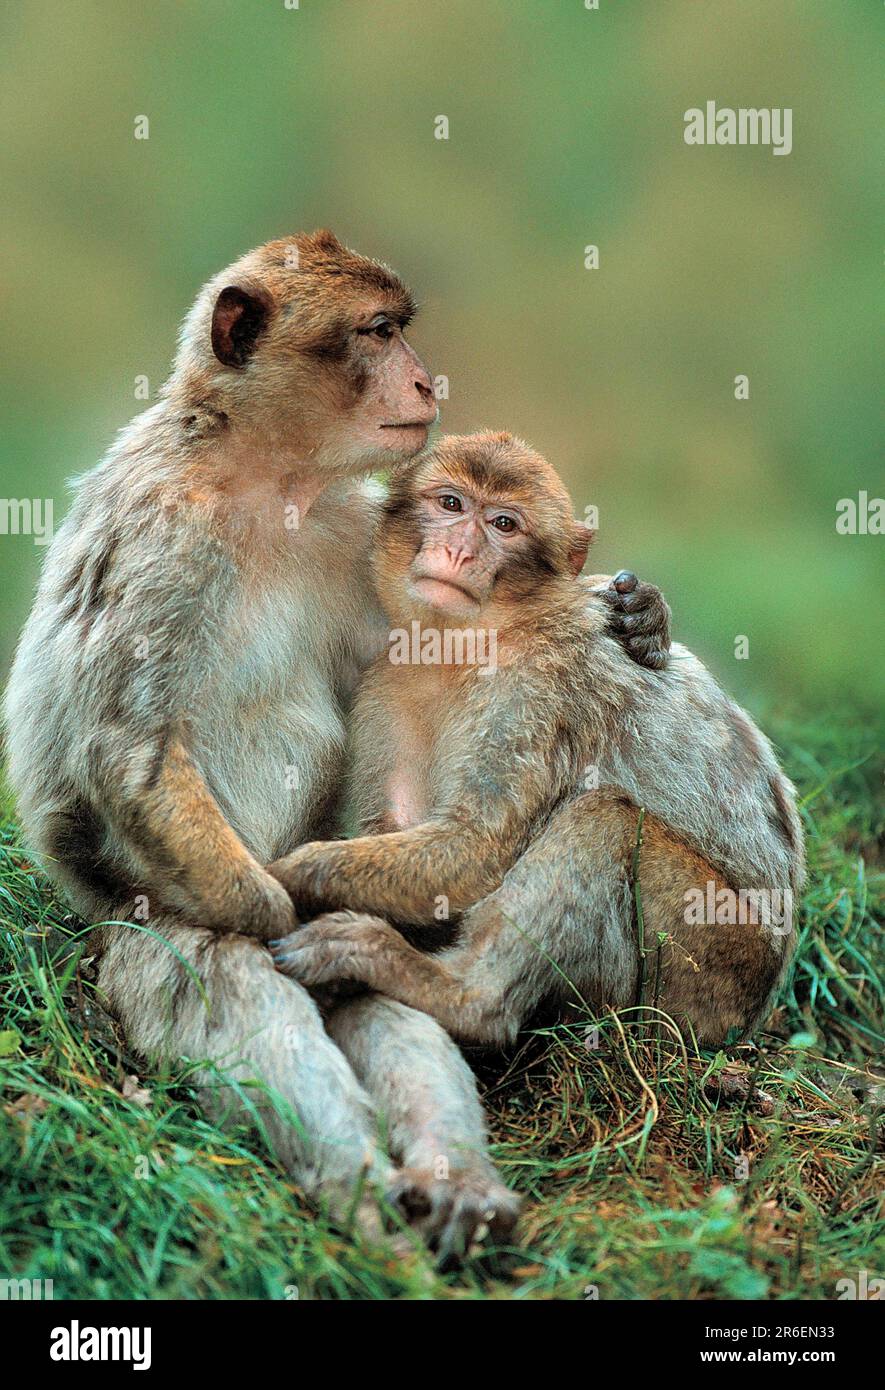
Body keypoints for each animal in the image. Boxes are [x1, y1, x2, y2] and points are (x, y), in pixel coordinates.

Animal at [4, 234, 672, 1254]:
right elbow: (131, 750)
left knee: (387, 1004)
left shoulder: (351, 527)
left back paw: (453, 1184)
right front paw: (278, 907)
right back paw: (357, 1183)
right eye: (379, 330)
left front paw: (639, 620)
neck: (264, 479)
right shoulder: (165, 531)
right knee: (232, 985)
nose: (424, 380)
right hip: (139, 928)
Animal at [268, 431, 805, 1053]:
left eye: (504, 524)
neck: (472, 645)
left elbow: (475, 851)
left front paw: (287, 875)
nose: (459, 552)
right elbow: (401, 825)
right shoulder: (389, 680)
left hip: (708, 962)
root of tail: (756, 1011)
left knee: (606, 819)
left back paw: (461, 996)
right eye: (451, 504)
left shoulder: (535, 690)